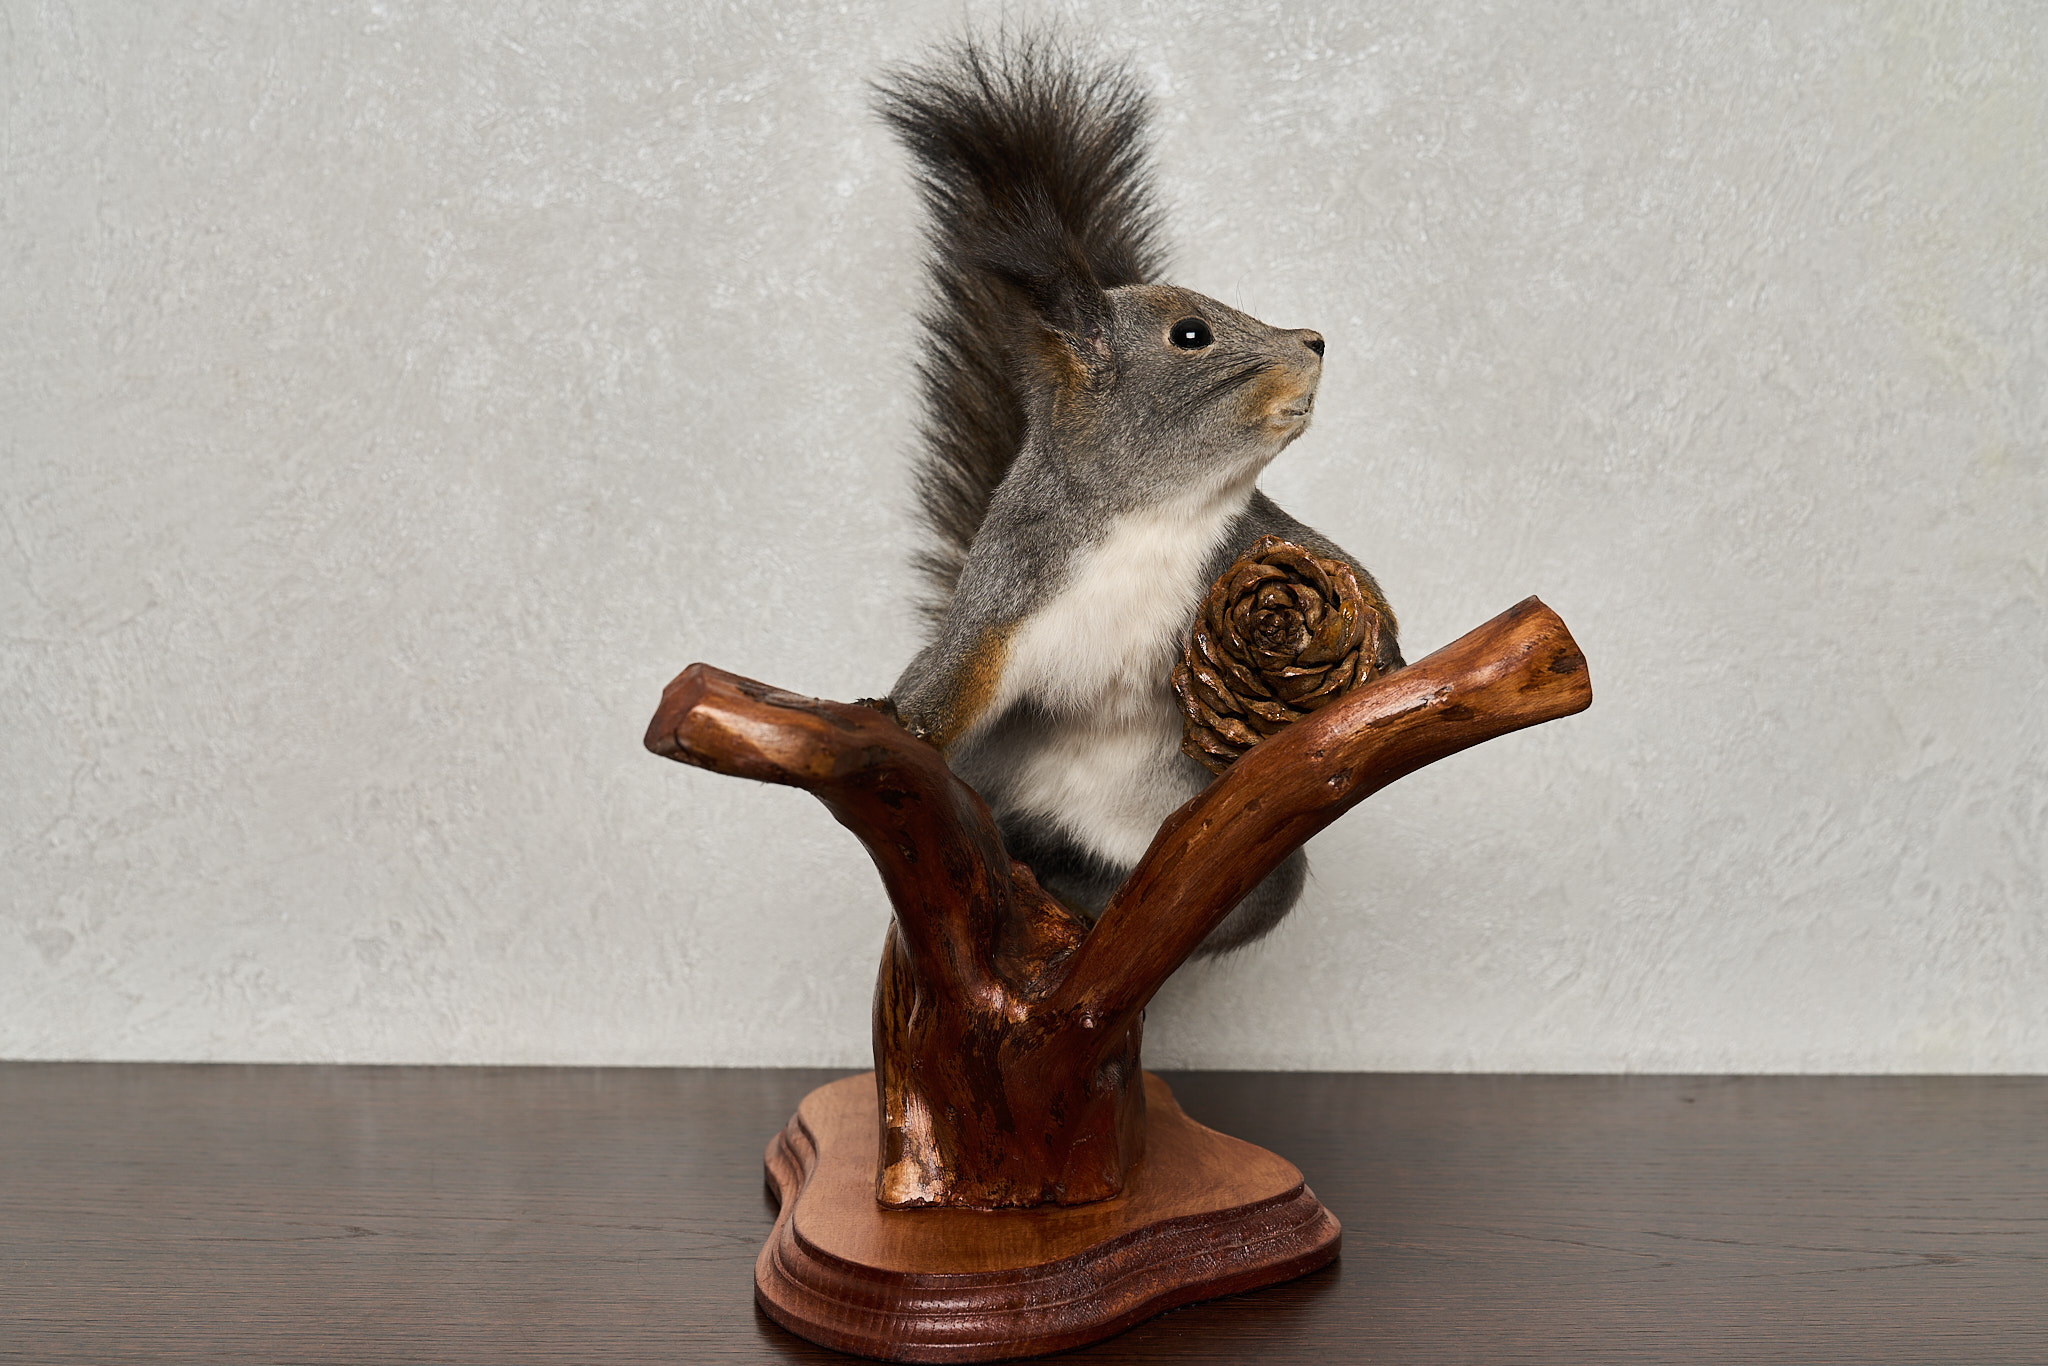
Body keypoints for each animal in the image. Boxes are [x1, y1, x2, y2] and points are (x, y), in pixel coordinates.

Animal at [874, 37, 1402, 954]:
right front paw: (891, 722)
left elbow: (1349, 578)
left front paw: (1386, 658)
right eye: (1191, 335)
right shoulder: (1011, 586)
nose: (1314, 341)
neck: (1152, 516)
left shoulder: (1258, 538)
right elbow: (950, 679)